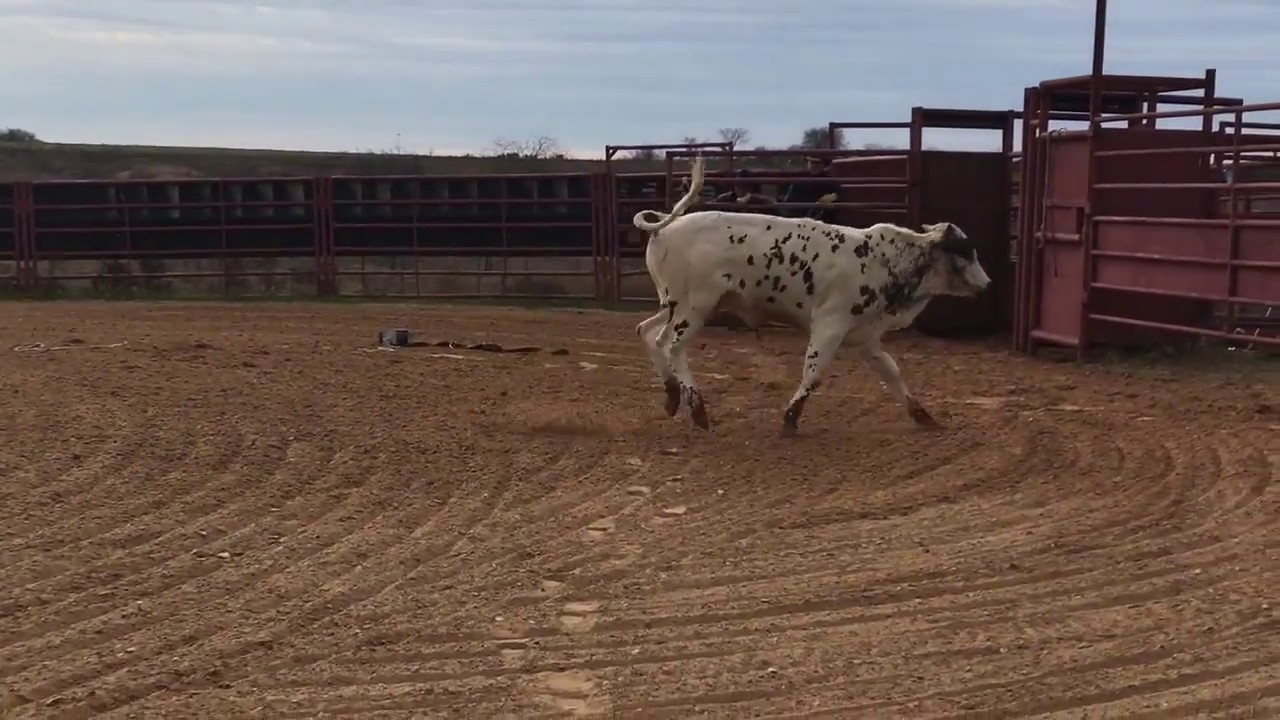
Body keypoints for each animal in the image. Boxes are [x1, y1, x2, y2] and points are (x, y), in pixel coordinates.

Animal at [632, 154, 992, 434]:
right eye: (965, 250)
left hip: (673, 305)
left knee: (649, 333)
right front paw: (790, 419)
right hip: (694, 307)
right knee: (671, 345)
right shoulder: (829, 326)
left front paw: (923, 415)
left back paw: (672, 396)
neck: (885, 260)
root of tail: (665, 227)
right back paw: (697, 410)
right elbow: (814, 373)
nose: (987, 284)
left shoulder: (866, 337)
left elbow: (892, 373)